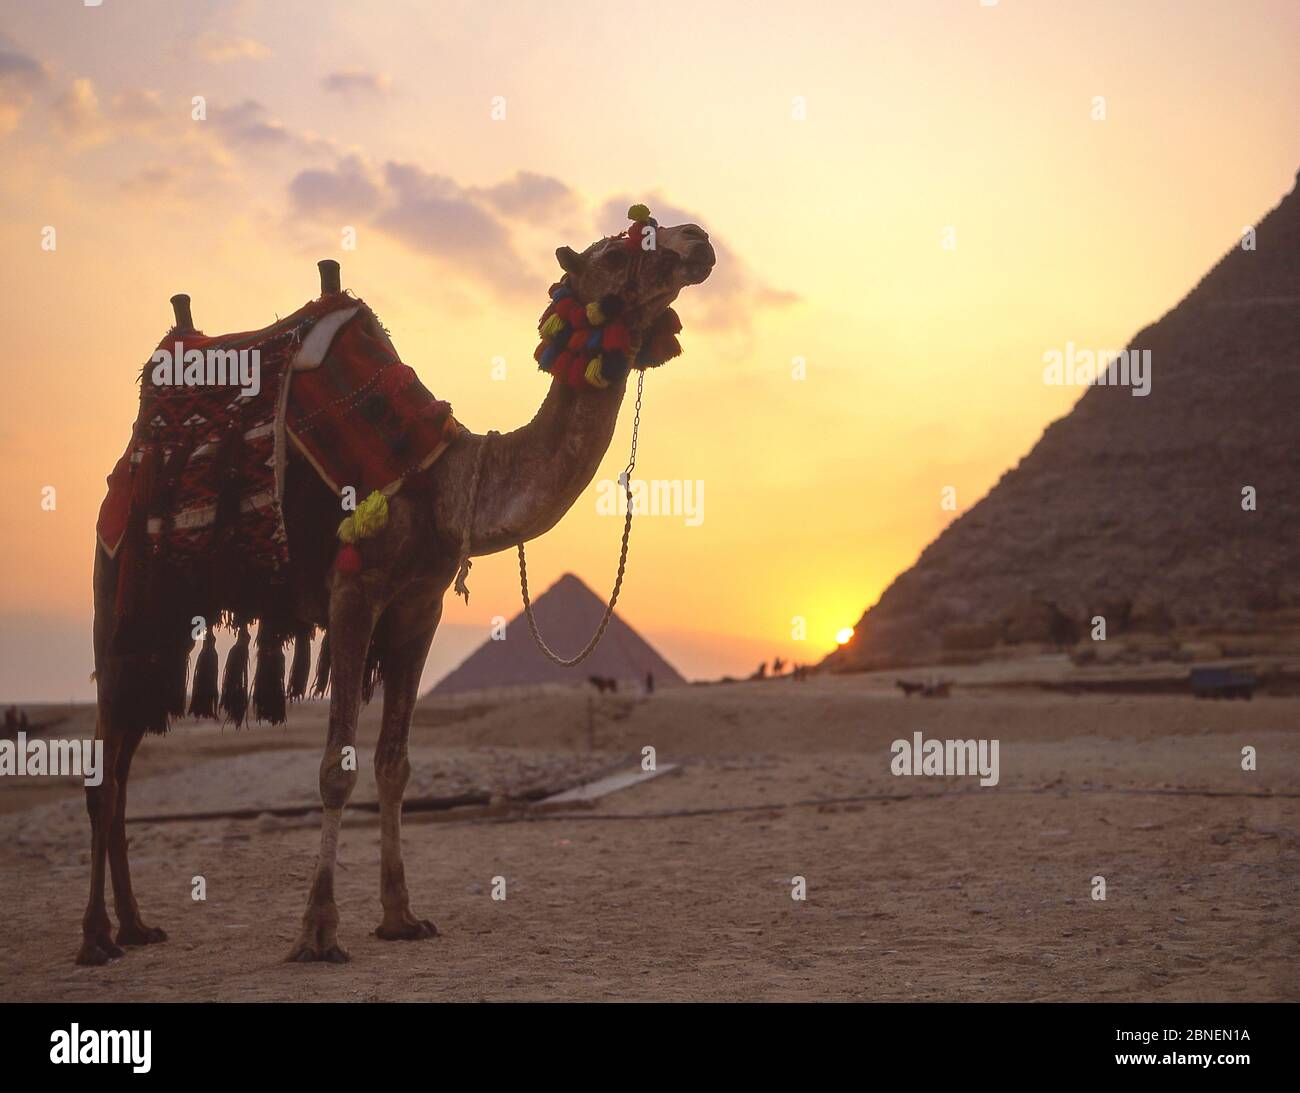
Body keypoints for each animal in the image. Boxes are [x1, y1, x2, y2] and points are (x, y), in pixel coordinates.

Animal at [78, 217, 716, 965]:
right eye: (616, 251)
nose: (697, 238)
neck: (446, 481)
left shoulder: (419, 609)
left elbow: (394, 765)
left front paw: (400, 914)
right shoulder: (355, 593)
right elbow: (336, 767)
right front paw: (318, 930)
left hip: (161, 622)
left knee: (124, 762)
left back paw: (135, 925)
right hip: (118, 593)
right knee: (104, 769)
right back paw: (95, 937)